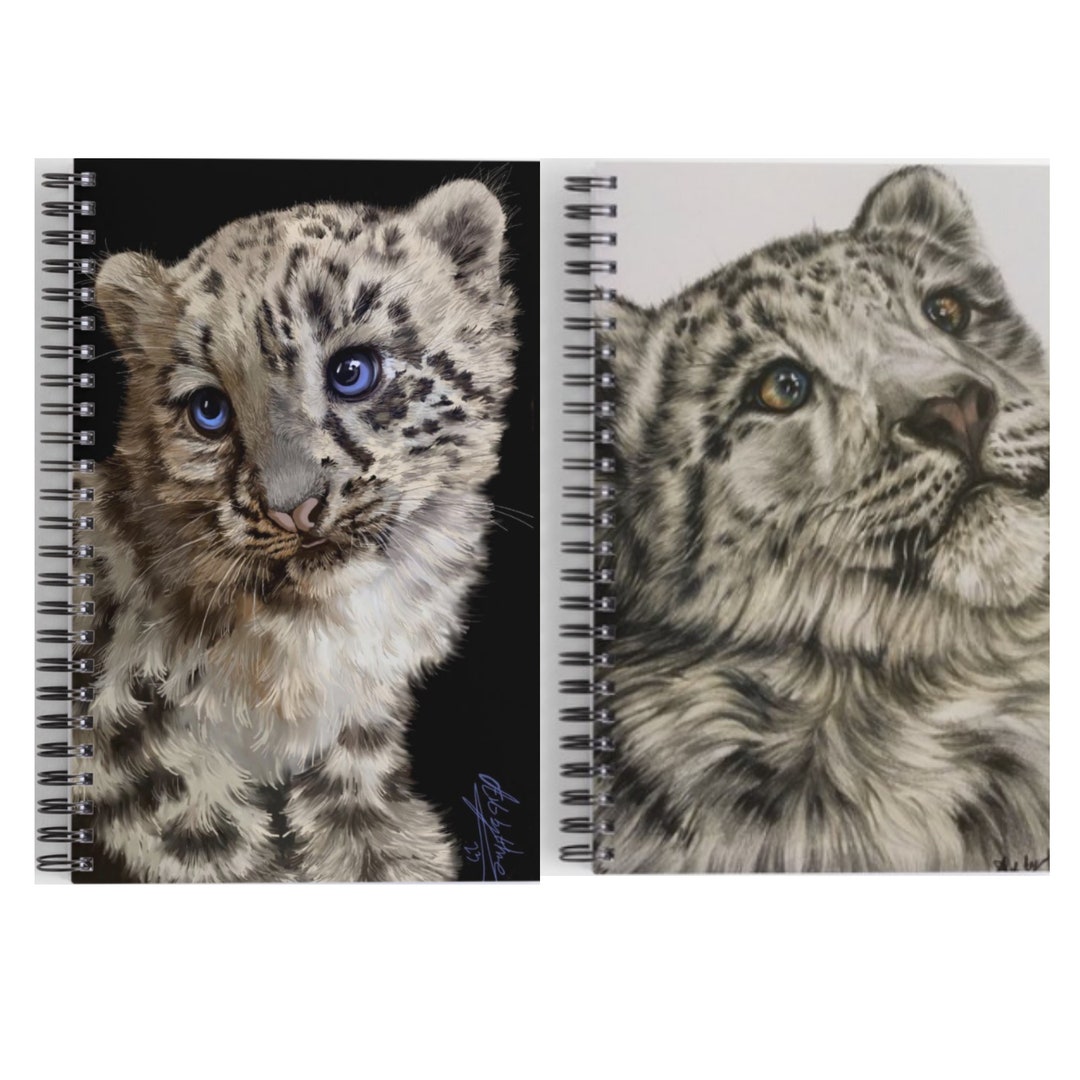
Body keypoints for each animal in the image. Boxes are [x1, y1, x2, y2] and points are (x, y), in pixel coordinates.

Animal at [75, 179, 517, 882]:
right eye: (209, 409)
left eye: (352, 370)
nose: (292, 506)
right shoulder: (129, 714)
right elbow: (193, 826)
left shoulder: (358, 713)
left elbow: (353, 789)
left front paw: (388, 856)